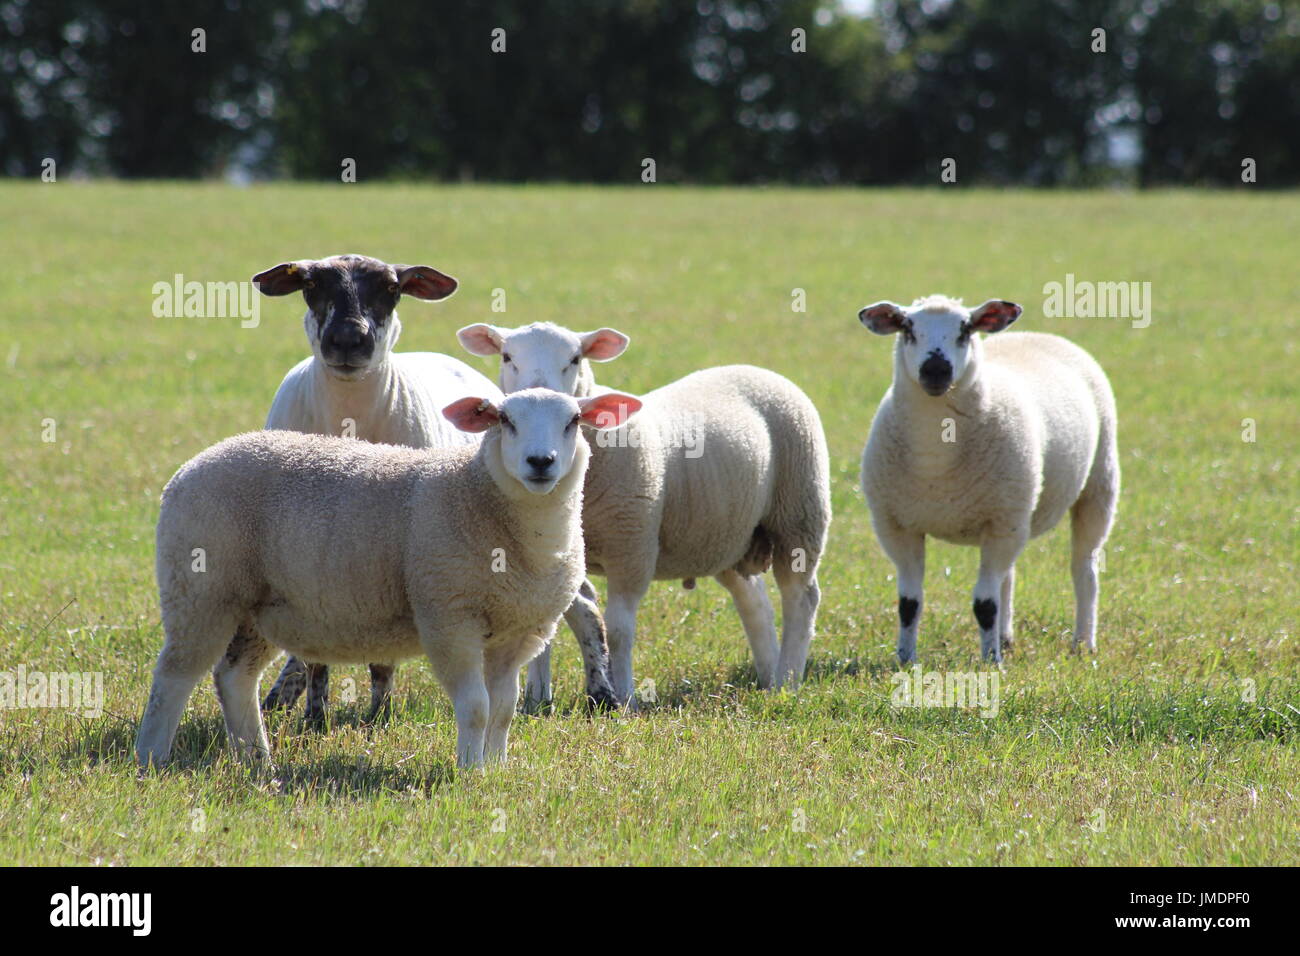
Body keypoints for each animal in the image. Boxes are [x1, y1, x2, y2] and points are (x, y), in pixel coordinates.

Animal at [135, 388, 641, 770]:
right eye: (504, 420)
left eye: (573, 420)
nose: (541, 462)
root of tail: (190, 467)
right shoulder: (448, 617)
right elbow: (476, 708)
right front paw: (468, 773)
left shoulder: (518, 633)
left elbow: (503, 710)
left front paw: (494, 769)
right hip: (201, 589)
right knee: (173, 677)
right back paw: (152, 759)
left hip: (259, 606)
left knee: (234, 677)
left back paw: (258, 763)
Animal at [251, 253, 505, 724]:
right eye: (310, 285)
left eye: (391, 288)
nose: (348, 339)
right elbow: (316, 656)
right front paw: (315, 720)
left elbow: (384, 660)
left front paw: (378, 719)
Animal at [457, 321, 832, 706]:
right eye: (507, 356)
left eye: (575, 358)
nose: (539, 390)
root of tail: (754, 368)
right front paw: (536, 698)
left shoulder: (631, 547)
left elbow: (619, 629)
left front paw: (624, 698)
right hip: (725, 535)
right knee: (754, 601)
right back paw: (768, 676)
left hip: (799, 512)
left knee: (801, 598)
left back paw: (787, 681)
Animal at [856, 295, 1120, 664]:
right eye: (907, 328)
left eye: (966, 330)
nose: (935, 370)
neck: (935, 461)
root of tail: (1035, 334)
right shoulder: (897, 527)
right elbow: (909, 603)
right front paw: (905, 659)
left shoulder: (1000, 523)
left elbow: (984, 604)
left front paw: (990, 663)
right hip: (1015, 514)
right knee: (1008, 576)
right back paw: (1006, 638)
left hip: (1097, 485)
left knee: (1084, 570)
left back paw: (1082, 643)